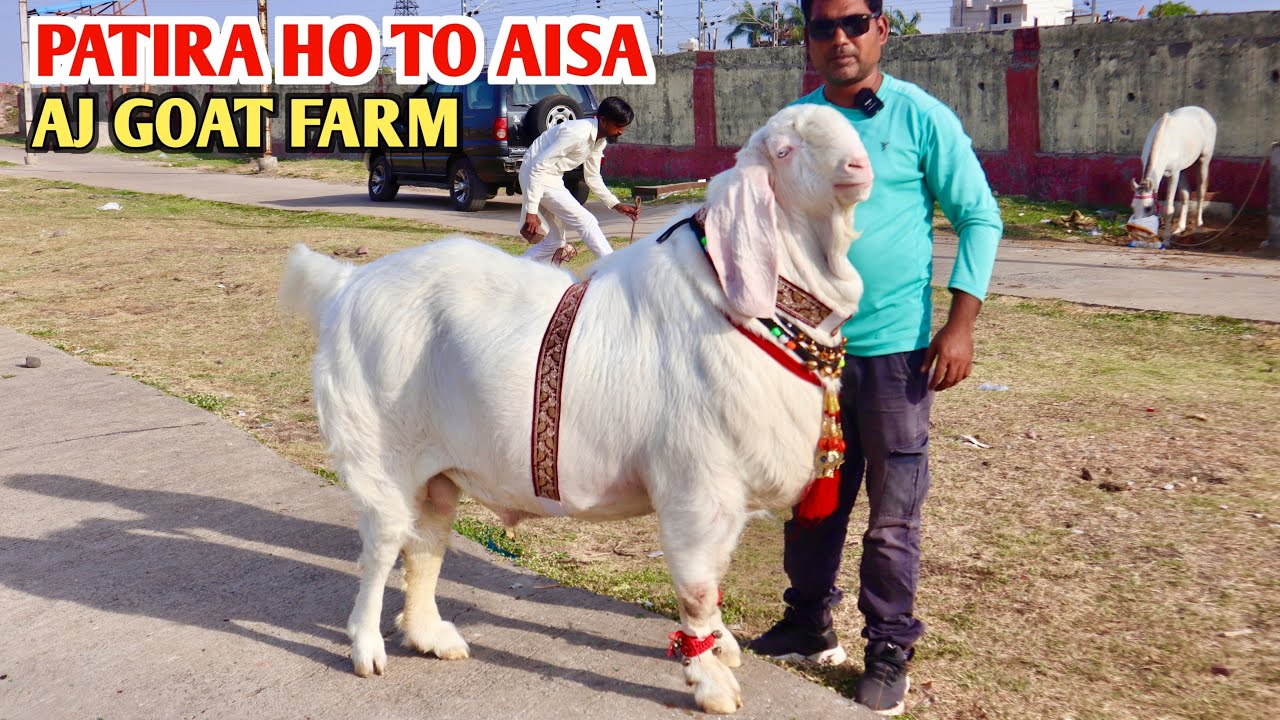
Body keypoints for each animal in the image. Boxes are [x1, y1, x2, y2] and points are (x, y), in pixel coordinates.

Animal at [278, 104, 872, 715]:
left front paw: (723, 646)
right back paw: (367, 649)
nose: (859, 166)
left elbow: (716, 579)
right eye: (784, 151)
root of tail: (349, 283)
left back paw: (431, 637)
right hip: (379, 453)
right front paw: (711, 682)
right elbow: (698, 588)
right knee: (381, 547)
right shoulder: (697, 487)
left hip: (437, 471)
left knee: (424, 544)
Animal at [1127, 106, 1217, 243]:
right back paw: (1180, 229)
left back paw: (1197, 229)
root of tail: (1204, 112)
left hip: (1203, 160)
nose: (1138, 233)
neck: (1164, 142)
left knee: (1200, 193)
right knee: (1186, 194)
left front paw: (1166, 240)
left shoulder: (1173, 174)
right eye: (1132, 207)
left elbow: (1169, 208)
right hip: (1183, 169)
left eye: (1148, 207)